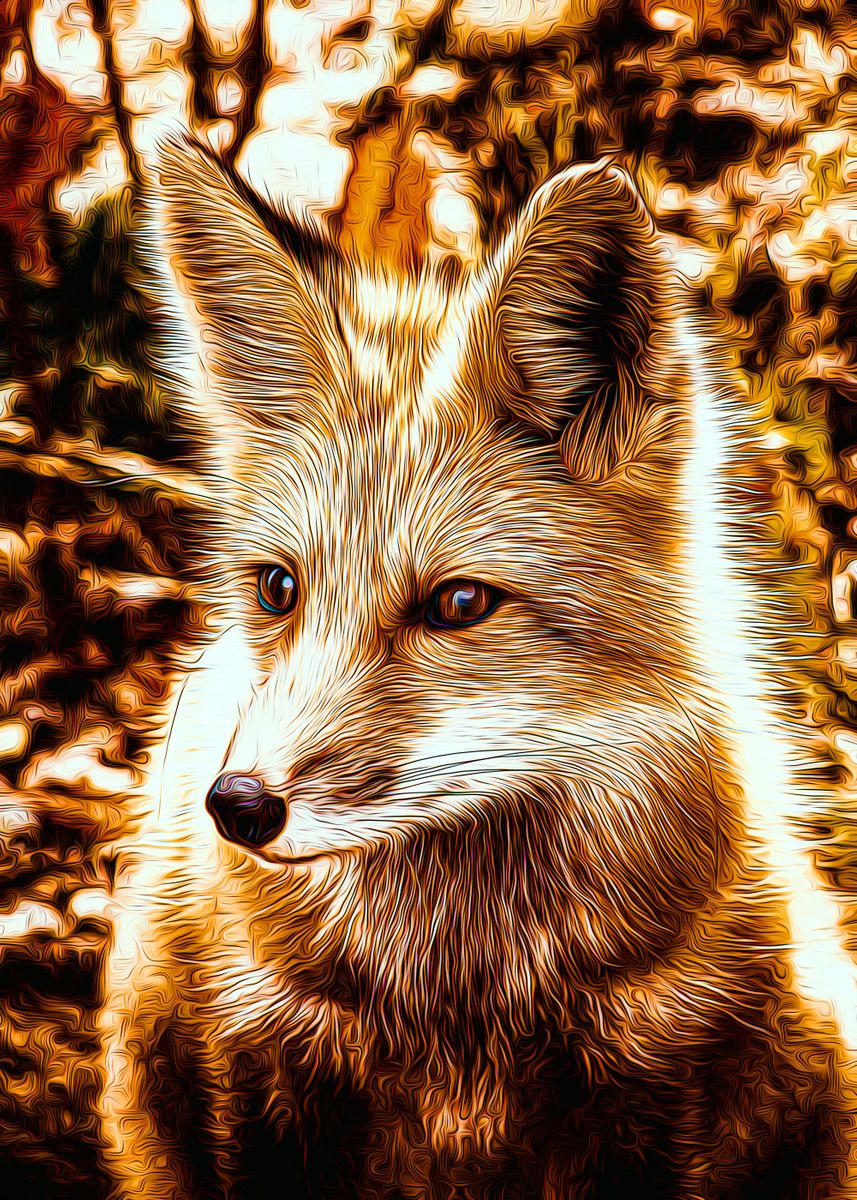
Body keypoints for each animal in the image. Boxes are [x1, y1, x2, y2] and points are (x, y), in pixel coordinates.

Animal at [97, 136, 857, 1199]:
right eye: (278, 588)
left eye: (458, 605)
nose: (238, 807)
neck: (459, 999)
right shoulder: (263, 1058)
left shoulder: (655, 1076)